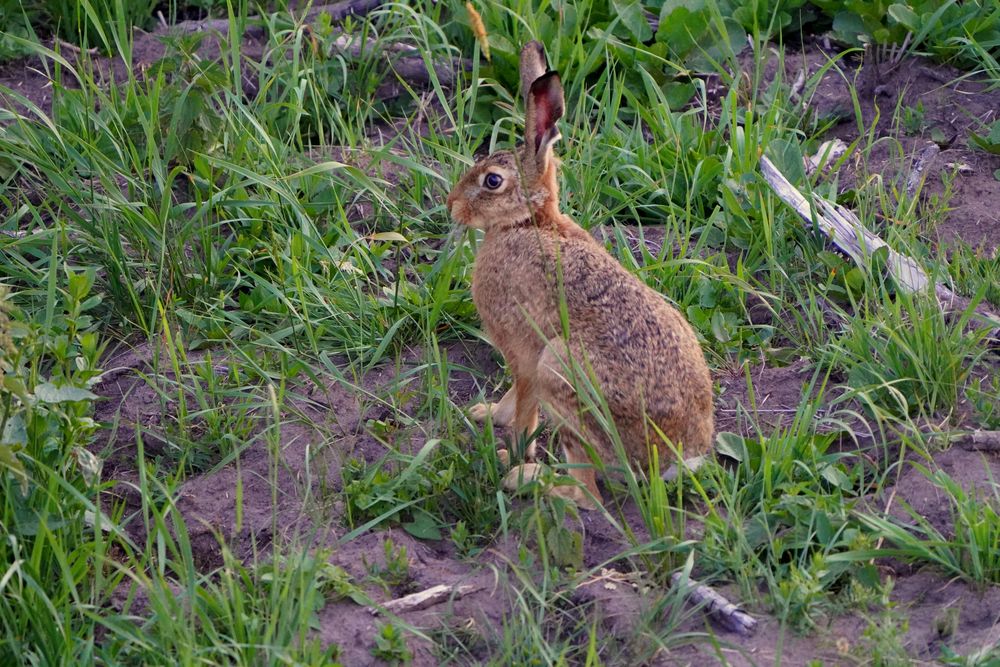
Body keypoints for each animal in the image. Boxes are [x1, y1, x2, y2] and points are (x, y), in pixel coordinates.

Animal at [445, 41, 714, 510]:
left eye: (492, 181)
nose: (451, 204)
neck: (528, 222)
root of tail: (676, 458)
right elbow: (514, 396)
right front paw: (487, 414)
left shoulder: (523, 351)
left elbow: (524, 403)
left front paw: (515, 446)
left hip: (562, 372)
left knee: (588, 495)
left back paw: (527, 478)